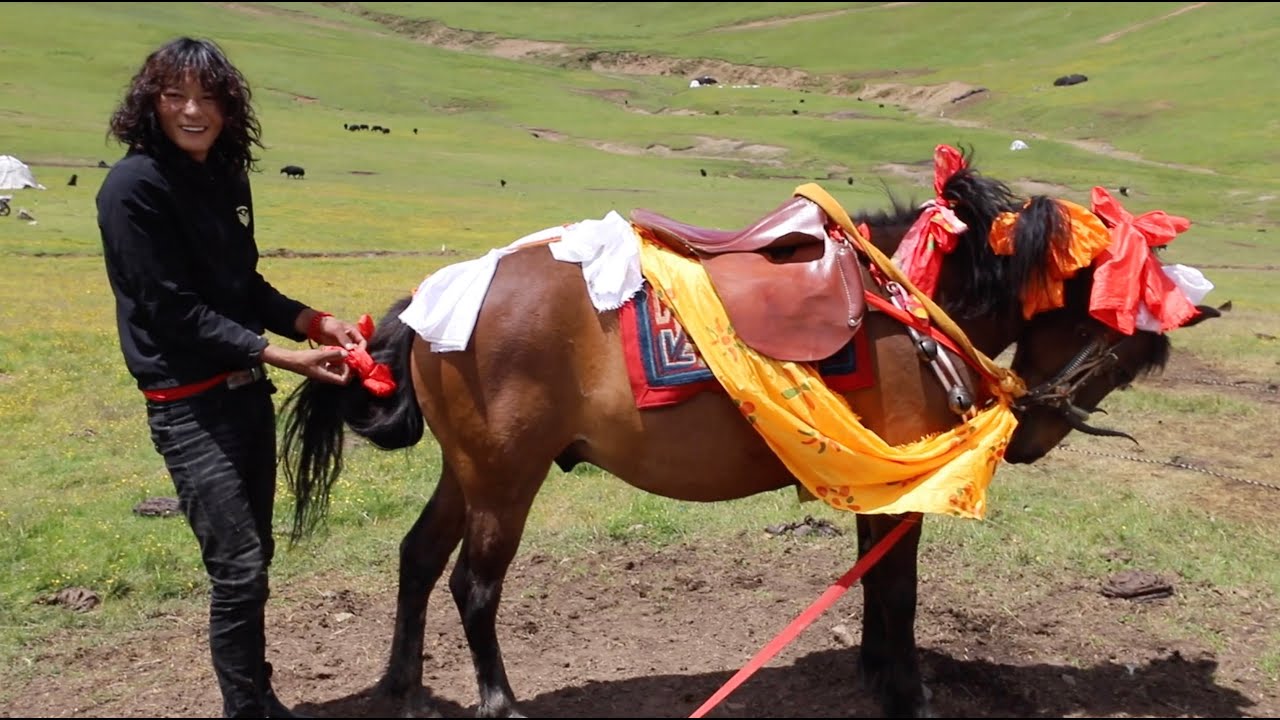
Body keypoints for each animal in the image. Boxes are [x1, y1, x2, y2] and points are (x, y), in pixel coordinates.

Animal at [280, 152, 1218, 717]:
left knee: (415, 558)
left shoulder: (879, 484)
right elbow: (900, 591)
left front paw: (874, 675)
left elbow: (874, 583)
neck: (906, 297)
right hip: (508, 477)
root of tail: (434, 299)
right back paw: (498, 699)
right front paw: (906, 693)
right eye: (1122, 344)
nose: (1033, 438)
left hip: (467, 471)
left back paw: (401, 687)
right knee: (473, 587)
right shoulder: (904, 484)